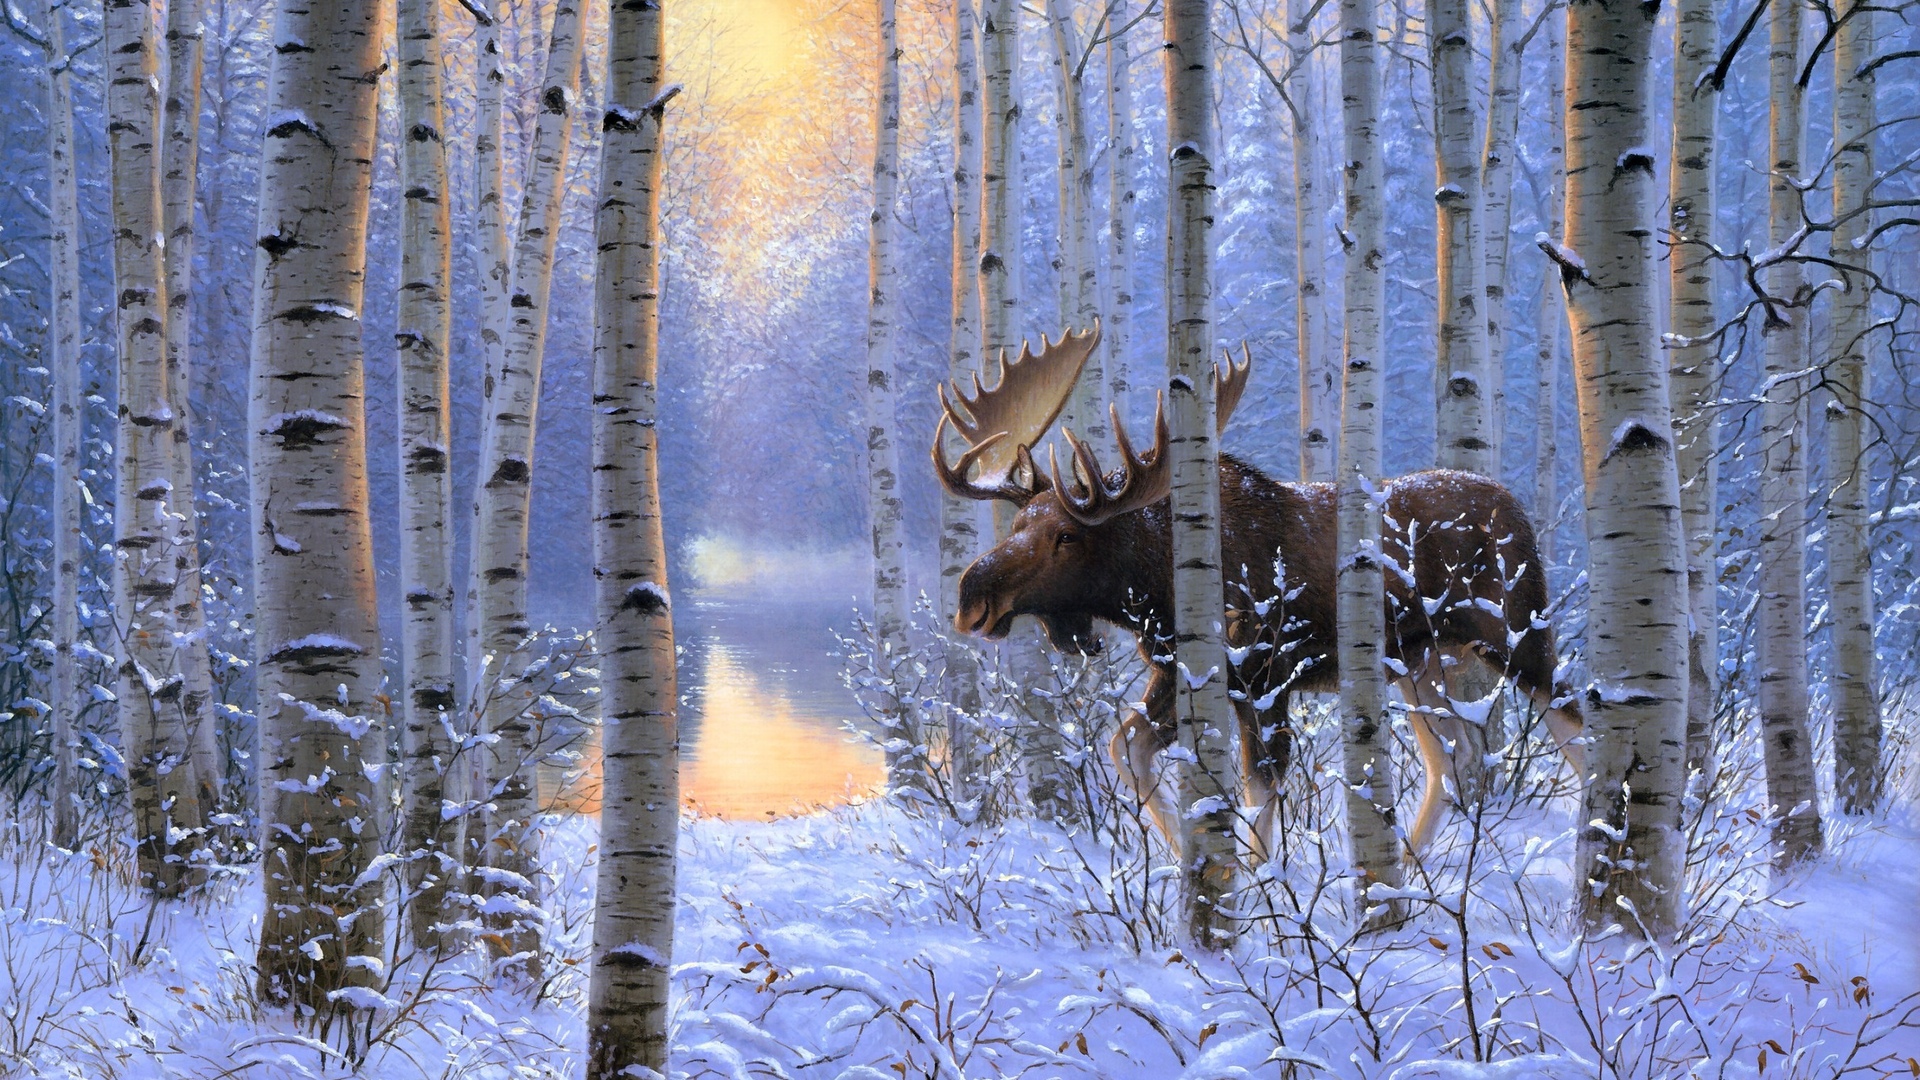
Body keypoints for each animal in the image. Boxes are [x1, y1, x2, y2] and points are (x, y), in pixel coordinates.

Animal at [932, 323, 1585, 859]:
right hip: (1418, 659)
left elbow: (1260, 793)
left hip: (1518, 635)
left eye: (1066, 536)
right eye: (1017, 525)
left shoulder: (1269, 677)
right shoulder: (1181, 673)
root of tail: (1518, 510)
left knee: (1574, 722)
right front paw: (1187, 862)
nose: (971, 599)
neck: (1155, 590)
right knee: (1456, 757)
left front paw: (1259, 891)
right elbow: (1128, 750)